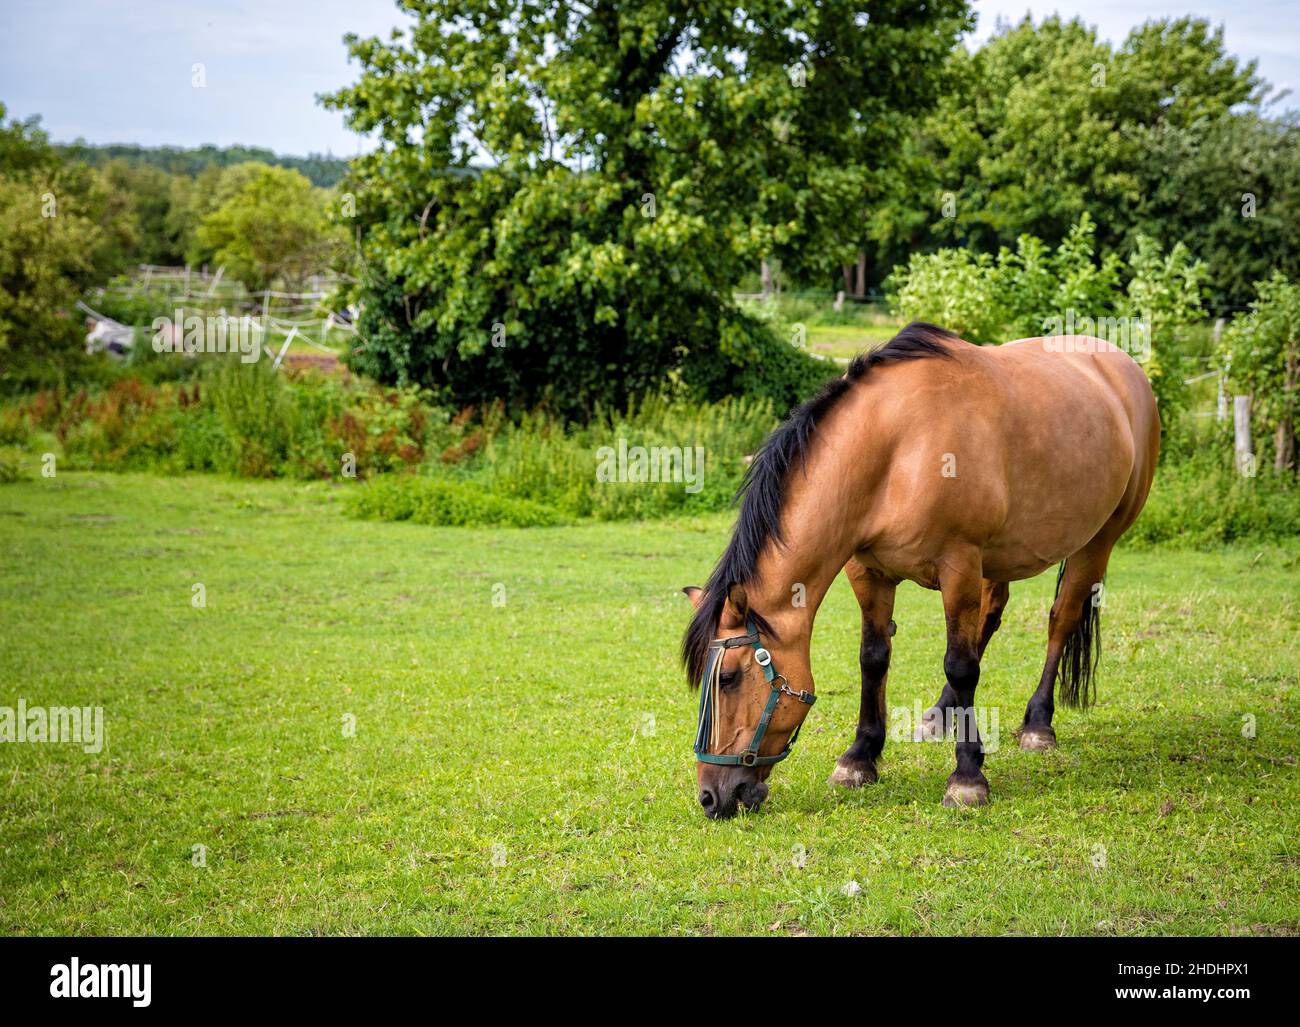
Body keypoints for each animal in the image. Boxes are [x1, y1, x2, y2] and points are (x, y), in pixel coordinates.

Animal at [681, 322, 1159, 819]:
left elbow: (961, 666)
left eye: (729, 678)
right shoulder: (868, 571)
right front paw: (859, 758)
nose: (711, 796)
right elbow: (874, 658)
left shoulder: (959, 565)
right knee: (989, 618)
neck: (897, 449)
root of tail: (1123, 368)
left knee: (1059, 620)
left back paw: (1037, 724)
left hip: (1097, 542)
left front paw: (967, 778)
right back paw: (939, 716)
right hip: (1000, 558)